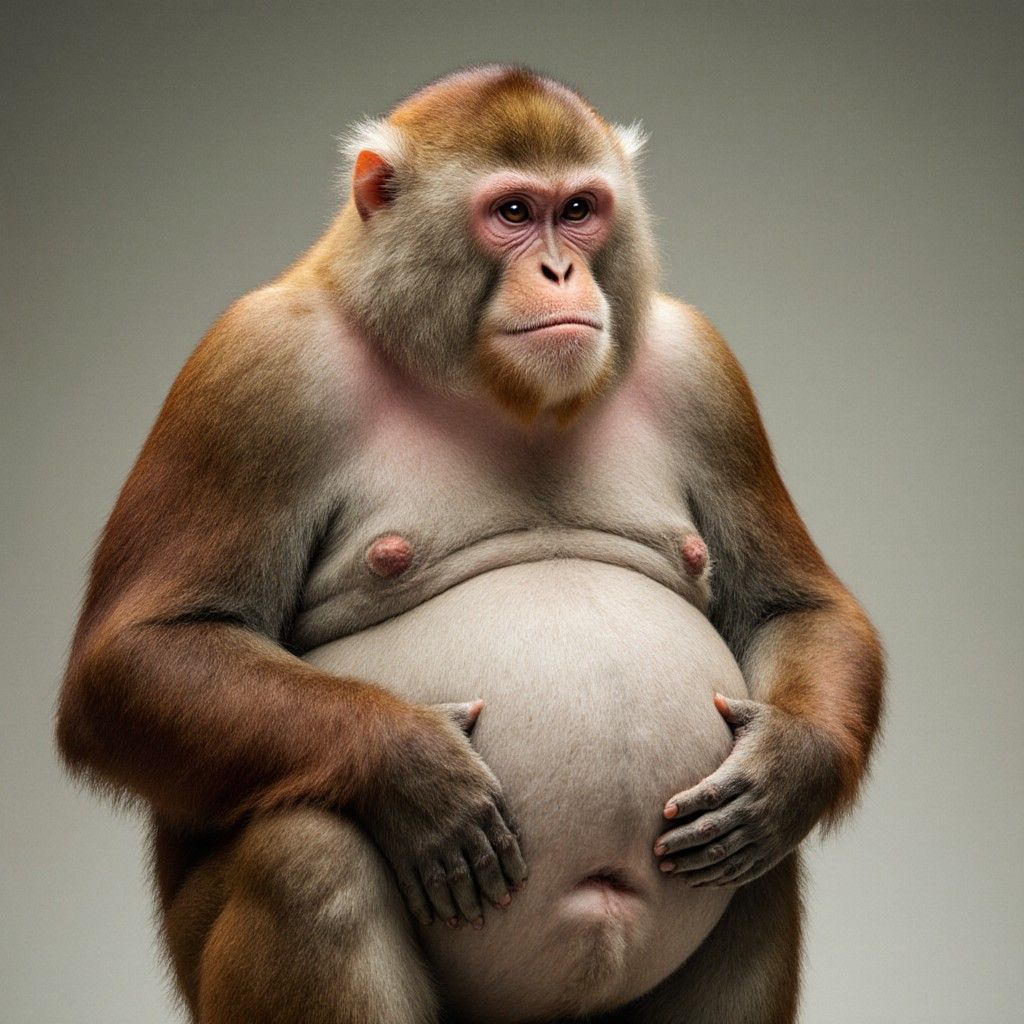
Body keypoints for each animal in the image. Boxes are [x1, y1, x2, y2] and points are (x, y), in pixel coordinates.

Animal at [56, 66, 884, 1024]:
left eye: (579, 209)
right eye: (514, 212)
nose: (560, 270)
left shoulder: (701, 367)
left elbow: (794, 607)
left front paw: (788, 766)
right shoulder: (258, 368)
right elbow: (132, 657)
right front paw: (410, 768)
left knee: (758, 870)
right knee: (309, 856)